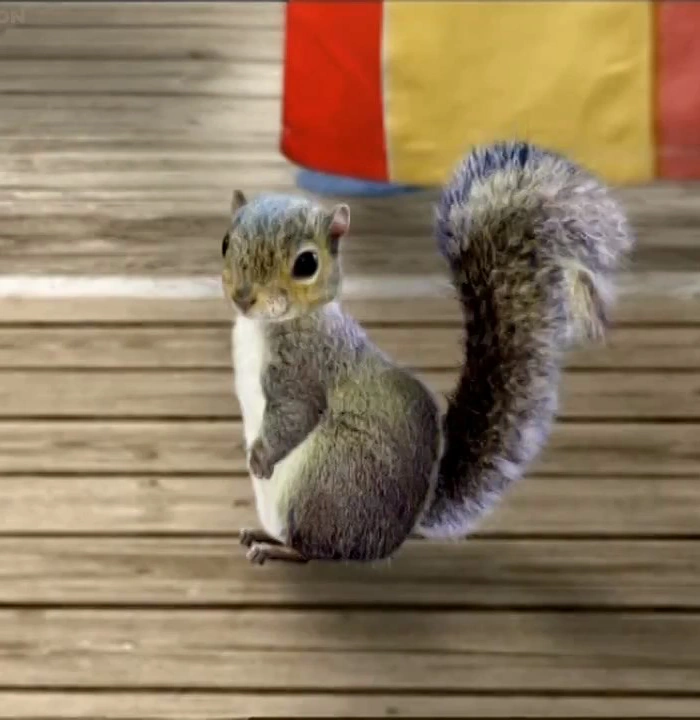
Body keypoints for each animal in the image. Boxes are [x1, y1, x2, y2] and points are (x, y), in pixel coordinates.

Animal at [220, 140, 634, 565]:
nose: (243, 297)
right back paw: (263, 534)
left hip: (326, 480)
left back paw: (280, 548)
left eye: (306, 263)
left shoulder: (305, 369)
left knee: (317, 550)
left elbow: (295, 416)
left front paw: (260, 458)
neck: (271, 324)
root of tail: (395, 535)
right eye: (225, 243)